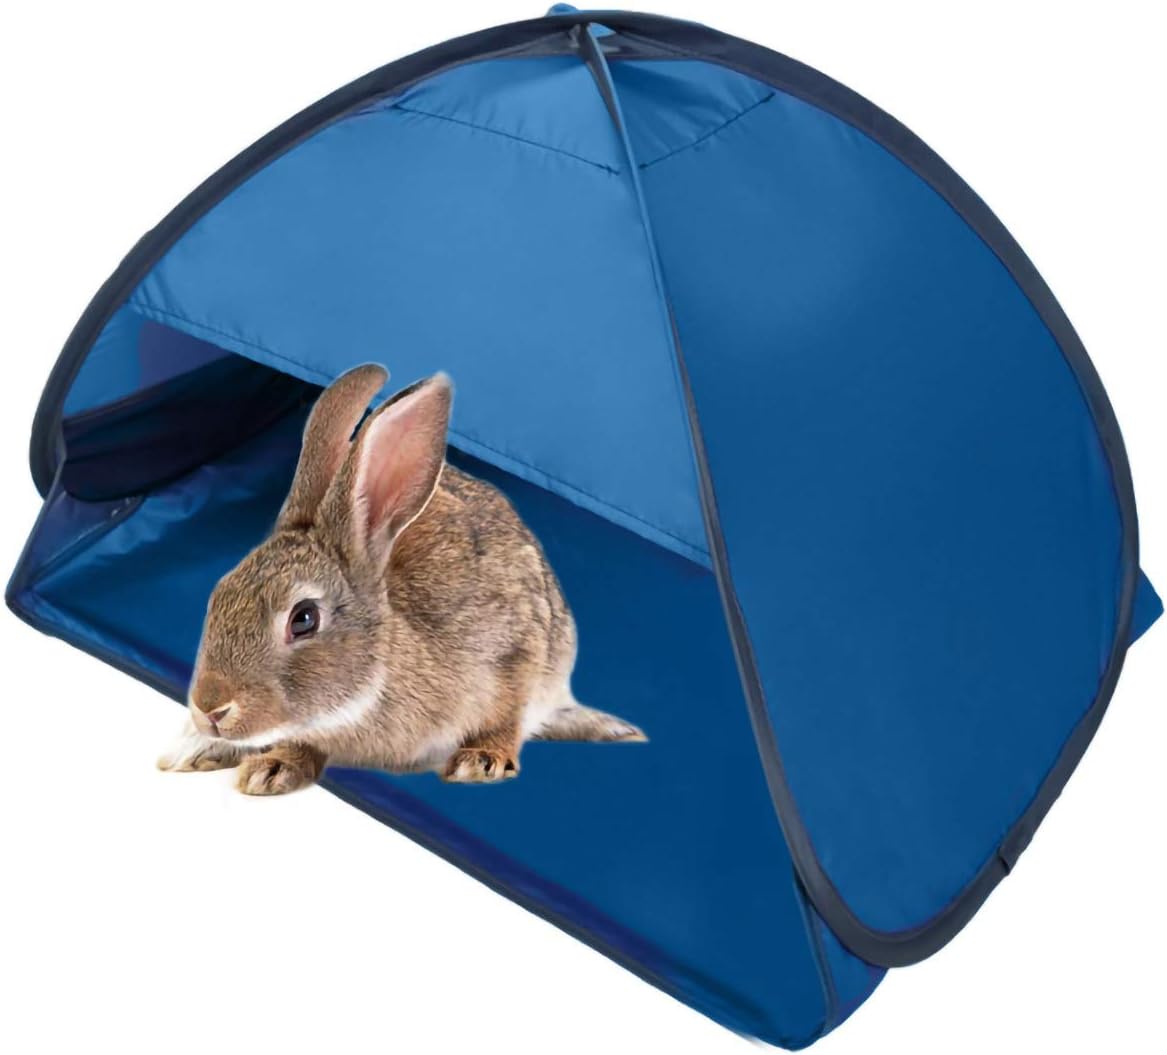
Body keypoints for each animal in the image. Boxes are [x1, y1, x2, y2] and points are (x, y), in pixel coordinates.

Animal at [157, 363, 646, 795]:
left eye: (304, 619)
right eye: (219, 593)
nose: (209, 708)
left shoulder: (517, 653)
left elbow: (505, 719)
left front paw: (481, 761)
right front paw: (272, 768)